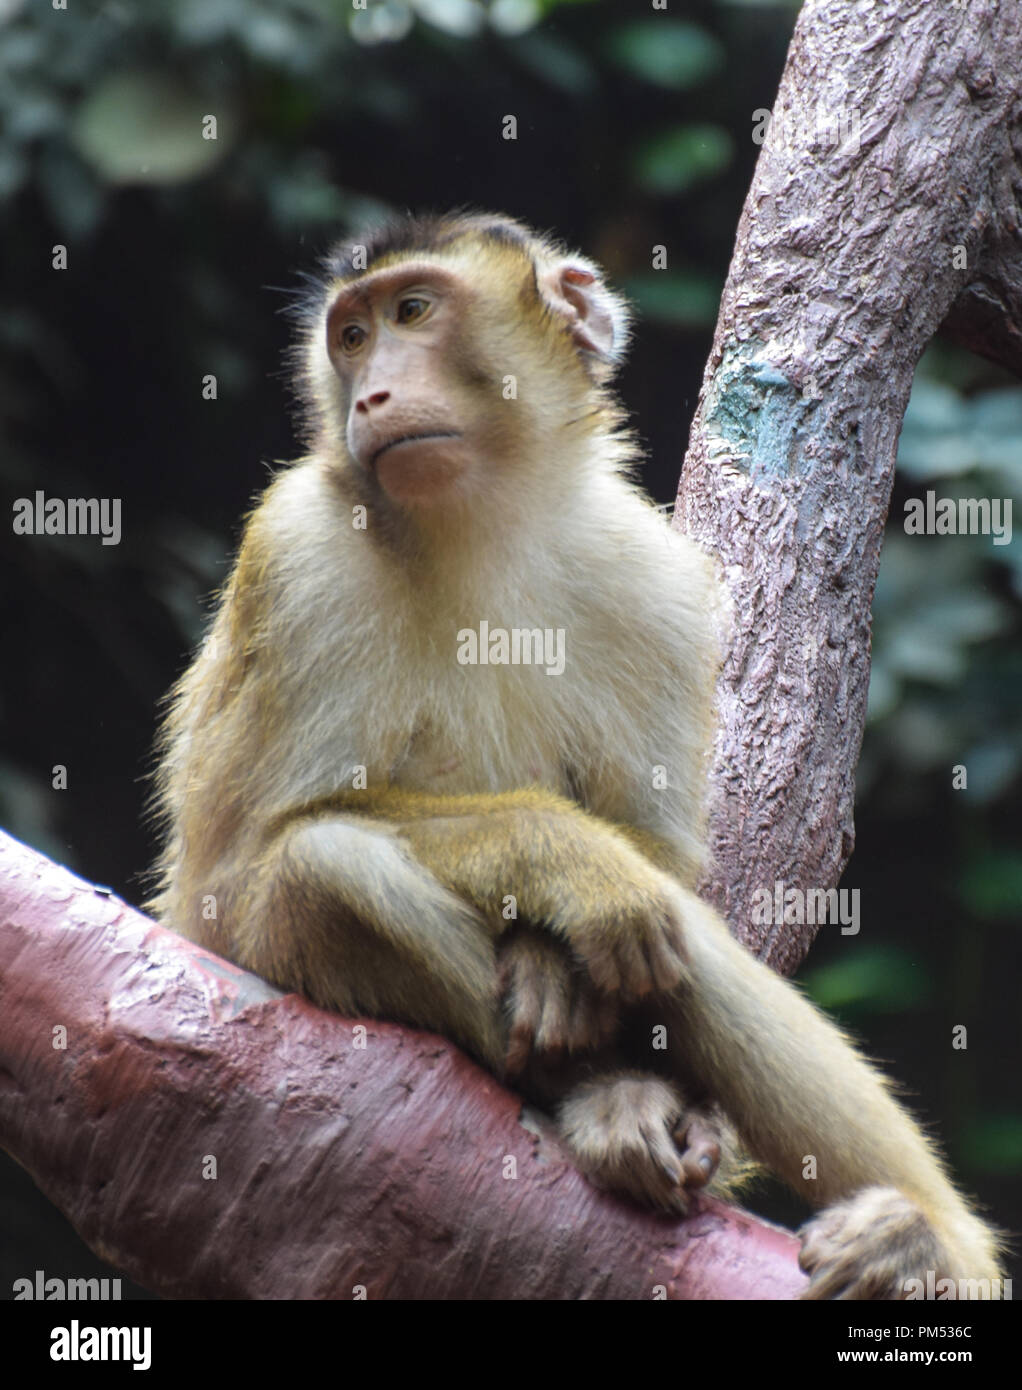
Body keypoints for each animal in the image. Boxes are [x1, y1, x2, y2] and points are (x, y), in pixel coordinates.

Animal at [148, 210, 1003, 1300]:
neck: (483, 521)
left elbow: (662, 864)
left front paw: (568, 944)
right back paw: (599, 1089)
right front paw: (562, 864)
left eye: (412, 312)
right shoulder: (296, 552)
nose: (372, 392)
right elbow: (245, 858)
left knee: (677, 938)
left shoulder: (657, 578)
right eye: (350, 337)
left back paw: (928, 1239)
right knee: (318, 871)